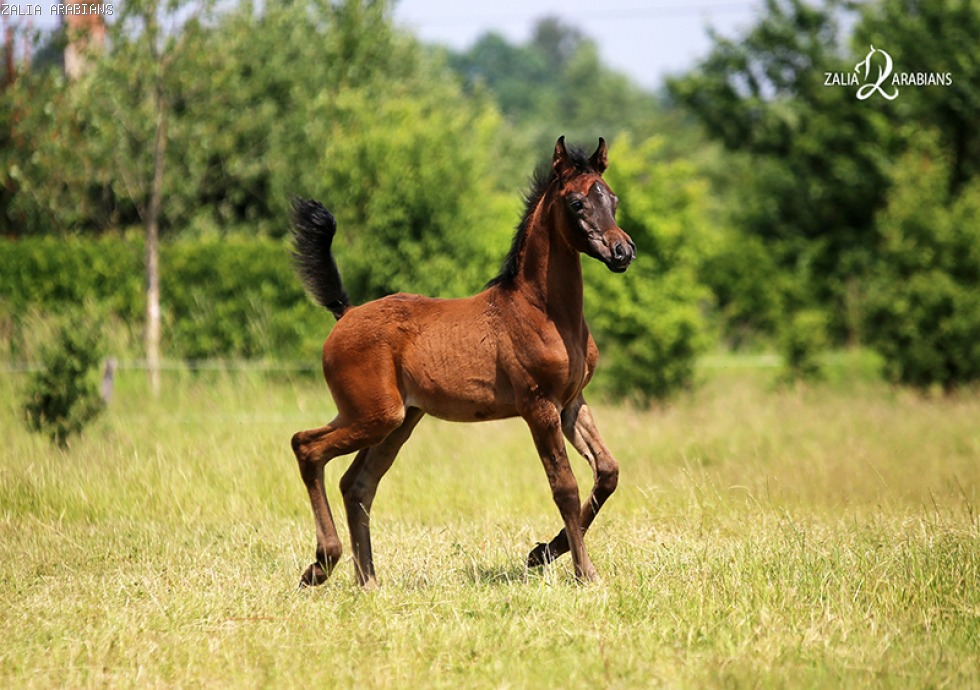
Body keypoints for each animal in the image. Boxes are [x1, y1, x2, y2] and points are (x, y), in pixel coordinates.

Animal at [289, 136, 635, 588]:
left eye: (612, 199)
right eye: (577, 203)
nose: (623, 251)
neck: (543, 311)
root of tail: (345, 314)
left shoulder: (571, 403)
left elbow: (607, 471)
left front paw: (541, 552)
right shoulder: (538, 406)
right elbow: (564, 486)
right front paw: (584, 572)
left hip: (399, 420)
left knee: (357, 483)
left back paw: (368, 581)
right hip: (373, 415)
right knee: (307, 446)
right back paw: (321, 564)